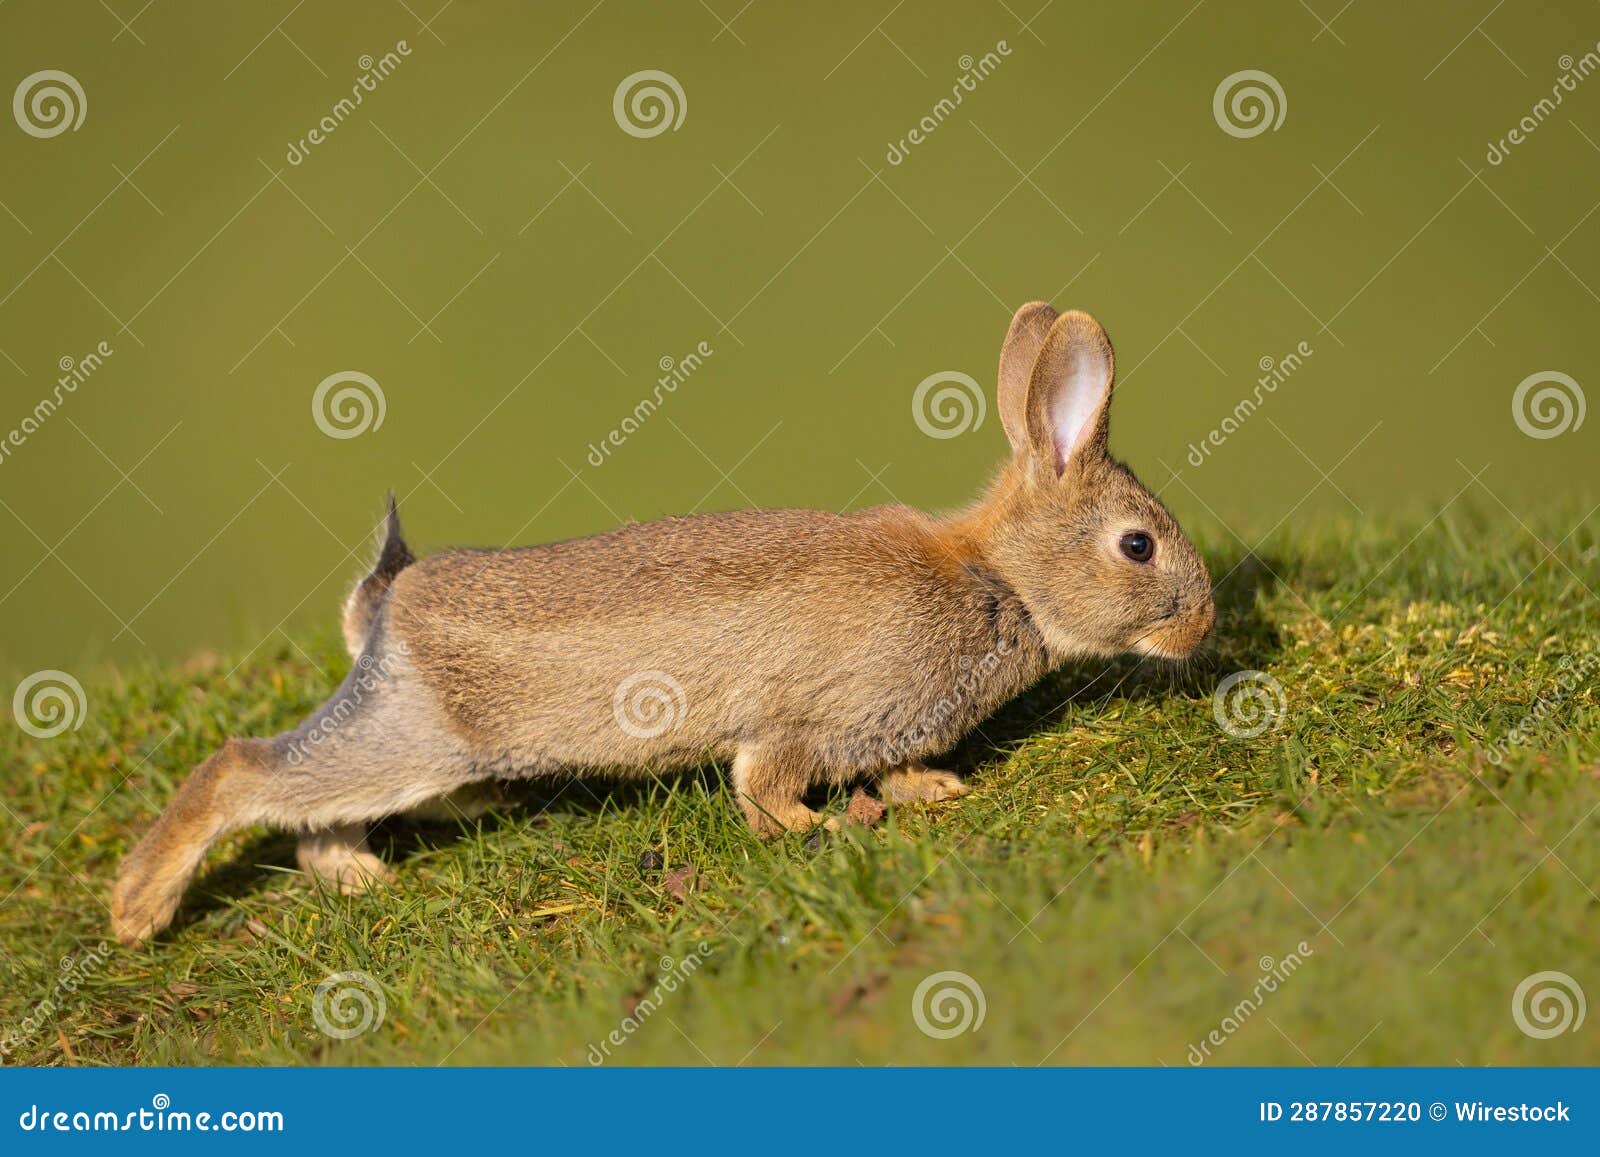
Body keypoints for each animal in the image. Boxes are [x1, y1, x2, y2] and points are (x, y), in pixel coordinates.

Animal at [110, 304, 1215, 947]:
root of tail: (385, 604)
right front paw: (812, 829)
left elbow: (895, 765)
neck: (1003, 578)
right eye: (1137, 547)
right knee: (244, 771)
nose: (1202, 626)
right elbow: (765, 781)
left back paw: (363, 872)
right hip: (407, 736)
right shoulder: (800, 720)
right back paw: (139, 910)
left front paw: (930, 790)